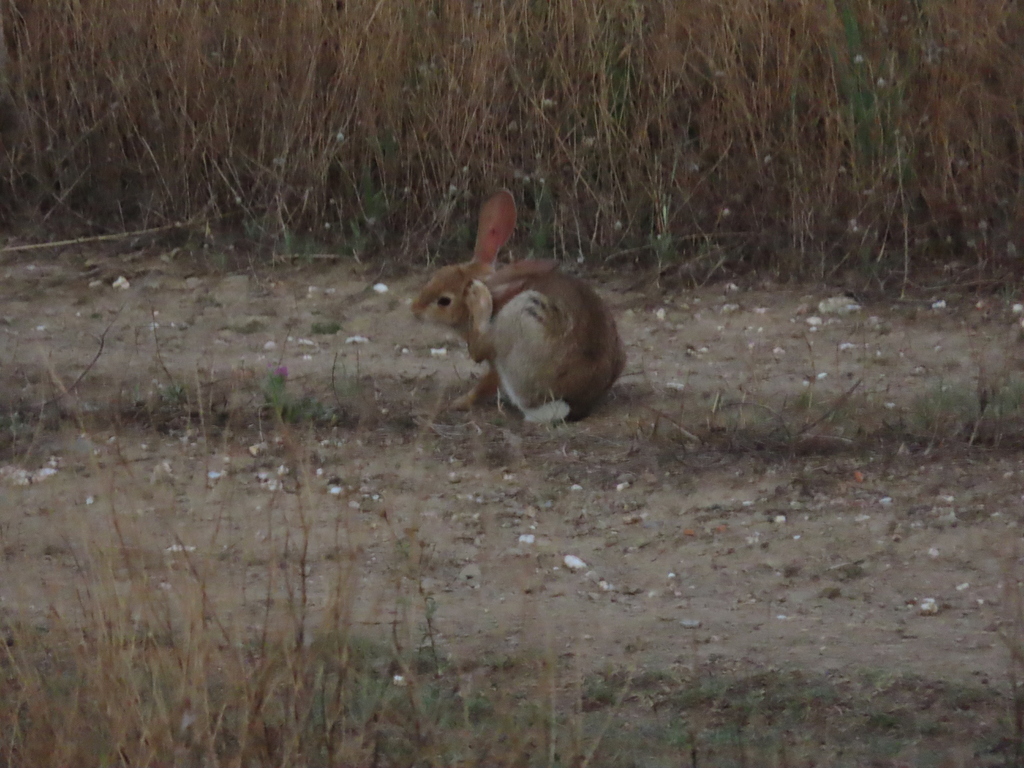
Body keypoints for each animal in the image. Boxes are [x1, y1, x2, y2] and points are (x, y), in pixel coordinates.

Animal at [412, 189, 626, 422]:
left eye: (444, 301)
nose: (415, 310)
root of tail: (570, 404)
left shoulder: (496, 362)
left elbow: (485, 379)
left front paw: (459, 403)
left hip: (523, 315)